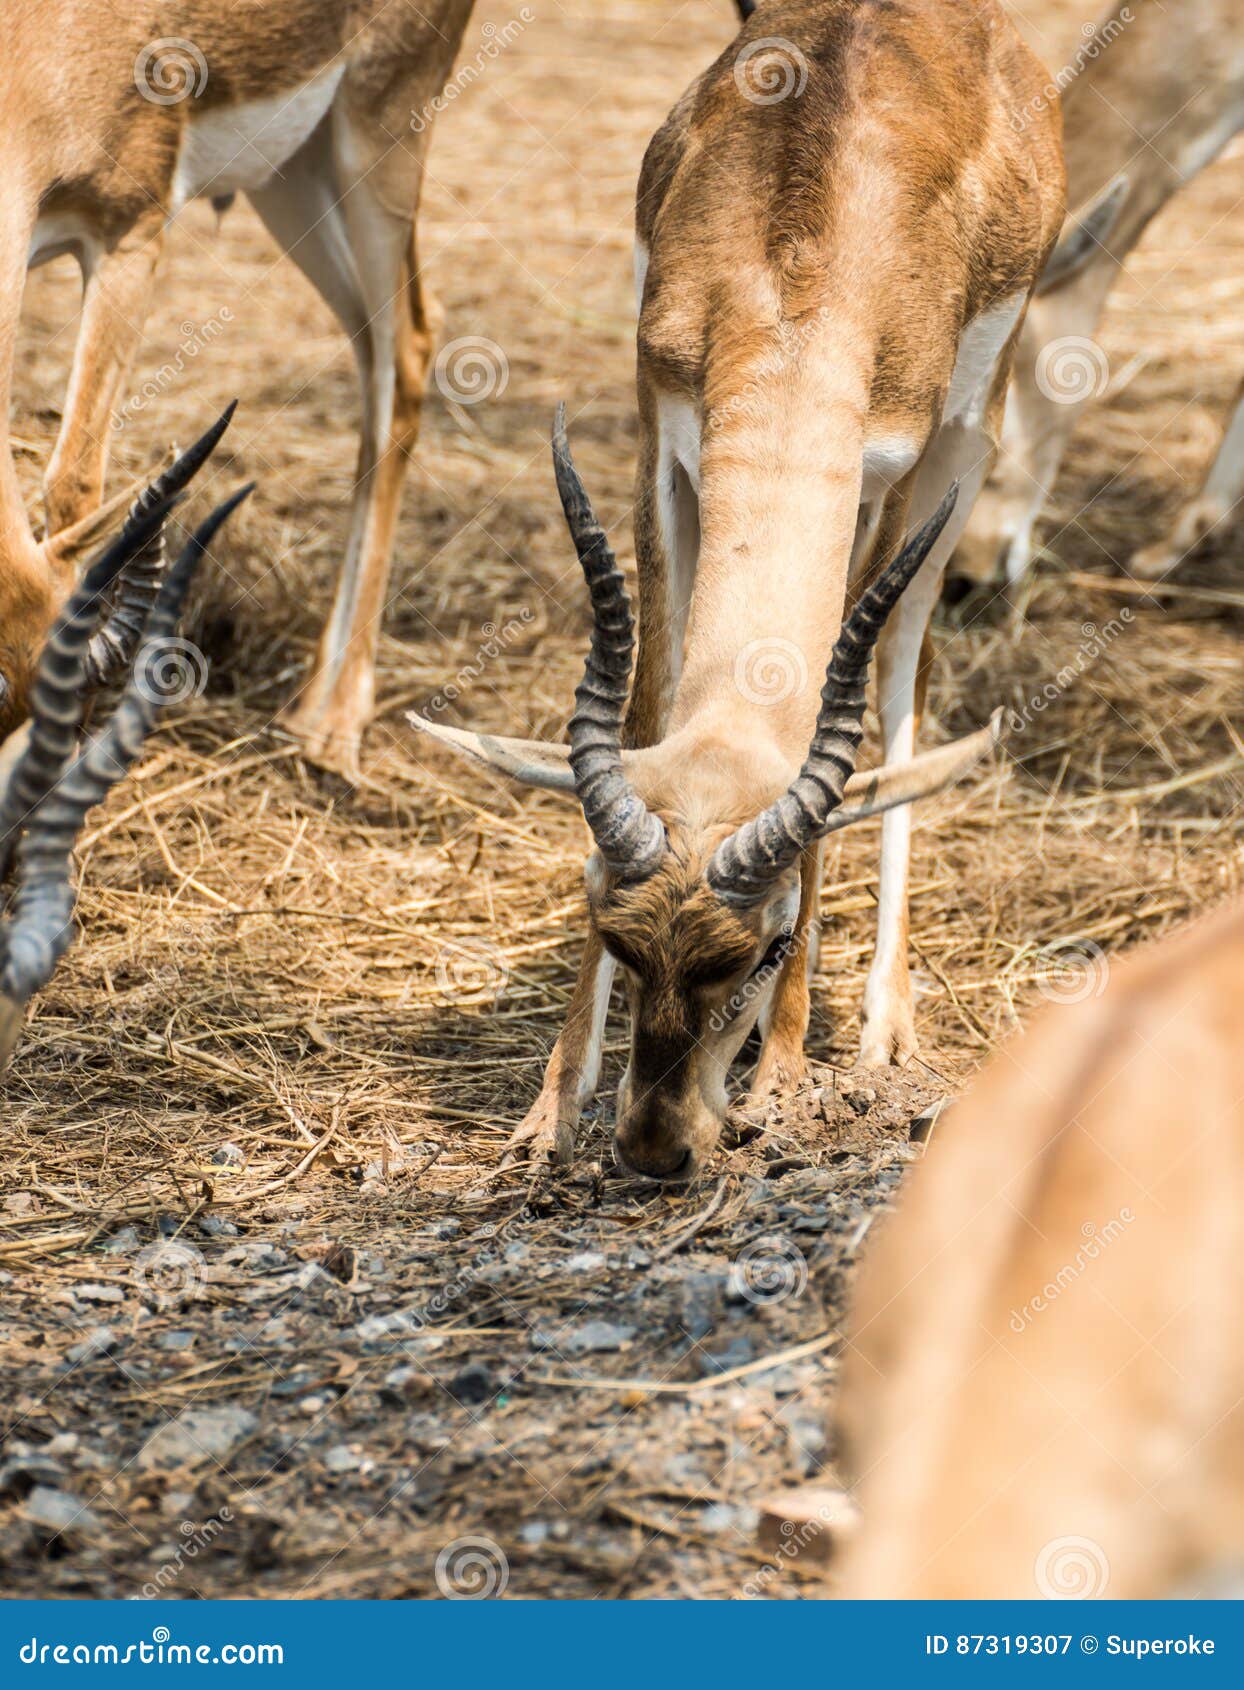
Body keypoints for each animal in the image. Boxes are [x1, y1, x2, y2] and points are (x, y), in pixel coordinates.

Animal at [2, 0, 478, 778]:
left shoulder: (131, 235)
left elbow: (74, 482)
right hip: (293, 182)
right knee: (373, 344)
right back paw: (310, 707)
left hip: (378, 141)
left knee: (408, 344)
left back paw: (334, 725)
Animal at [412, 0, 1063, 1178]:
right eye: (612, 933)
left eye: (764, 948)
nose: (655, 1147)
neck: (799, 286)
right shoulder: (662, 438)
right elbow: (640, 708)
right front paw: (549, 1109)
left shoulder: (889, 480)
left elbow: (842, 733)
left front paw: (787, 1074)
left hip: (969, 437)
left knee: (902, 676)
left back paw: (884, 1027)